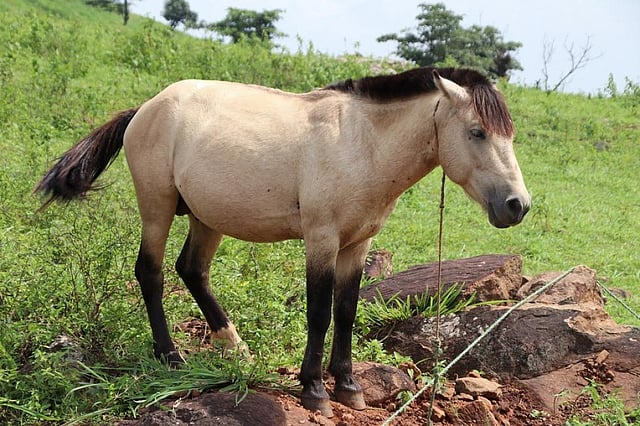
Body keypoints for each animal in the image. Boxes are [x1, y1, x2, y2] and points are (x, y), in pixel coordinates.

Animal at [35, 67, 530, 417]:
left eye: (510, 134)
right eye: (477, 132)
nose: (517, 205)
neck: (363, 142)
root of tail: (146, 107)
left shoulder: (357, 245)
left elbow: (346, 311)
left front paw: (348, 386)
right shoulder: (321, 240)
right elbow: (319, 312)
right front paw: (314, 389)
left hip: (205, 217)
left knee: (192, 270)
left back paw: (233, 347)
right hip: (157, 208)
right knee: (151, 273)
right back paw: (170, 356)